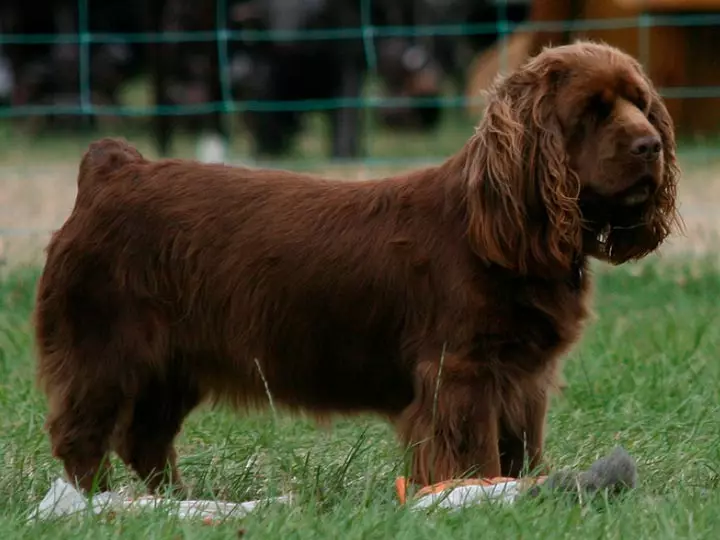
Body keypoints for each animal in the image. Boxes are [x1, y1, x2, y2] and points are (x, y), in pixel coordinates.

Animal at [33, 42, 680, 496]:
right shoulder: (462, 375)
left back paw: (174, 502)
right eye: (591, 113)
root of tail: (112, 170)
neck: (503, 229)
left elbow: (521, 453)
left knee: (144, 440)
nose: (651, 144)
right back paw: (96, 506)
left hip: (172, 367)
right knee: (83, 438)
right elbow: (476, 456)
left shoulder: (523, 381)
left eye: (641, 104)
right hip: (105, 350)